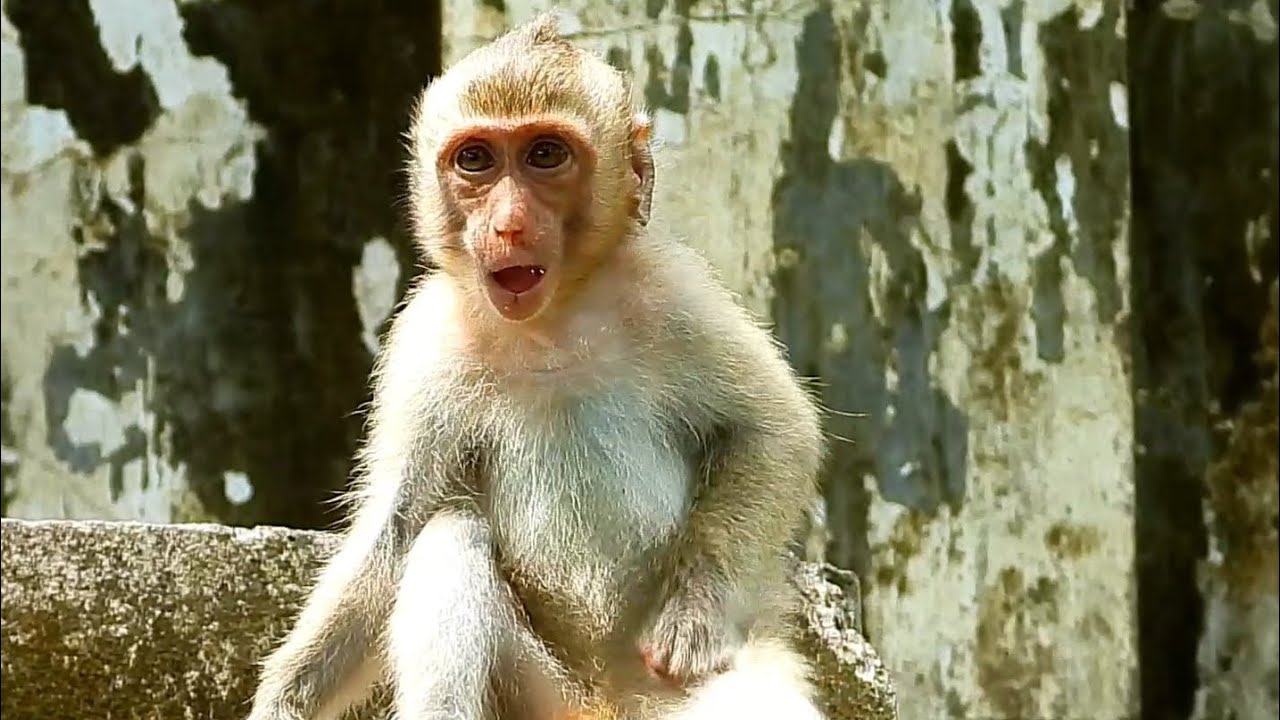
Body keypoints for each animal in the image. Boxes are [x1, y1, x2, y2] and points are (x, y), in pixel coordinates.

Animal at [247, 13, 826, 720]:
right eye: (475, 159)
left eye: (545, 155)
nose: (509, 225)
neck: (549, 327)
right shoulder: (424, 348)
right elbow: (398, 529)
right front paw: (287, 699)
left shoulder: (674, 292)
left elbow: (773, 430)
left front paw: (692, 618)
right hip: (542, 699)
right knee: (448, 539)